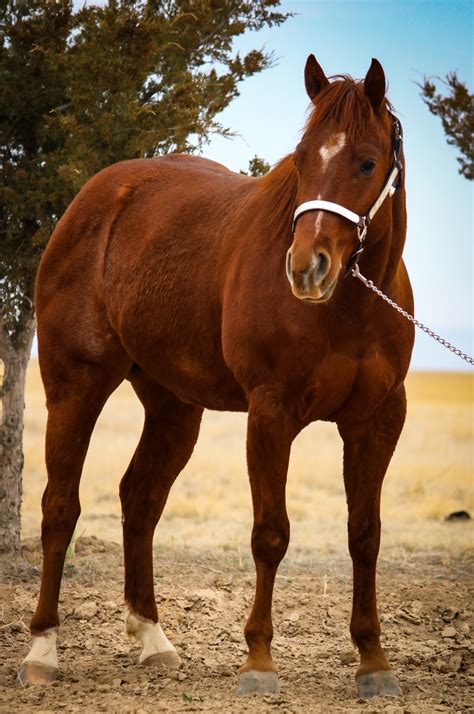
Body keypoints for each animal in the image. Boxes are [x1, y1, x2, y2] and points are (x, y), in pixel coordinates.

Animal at [19, 54, 414, 699]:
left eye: (366, 161)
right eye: (301, 158)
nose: (306, 268)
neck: (350, 308)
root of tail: (94, 198)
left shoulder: (377, 420)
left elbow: (365, 534)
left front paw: (373, 661)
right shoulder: (271, 412)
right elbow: (270, 534)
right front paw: (259, 661)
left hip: (174, 406)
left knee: (140, 499)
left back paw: (152, 638)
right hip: (75, 386)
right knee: (60, 507)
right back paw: (42, 650)